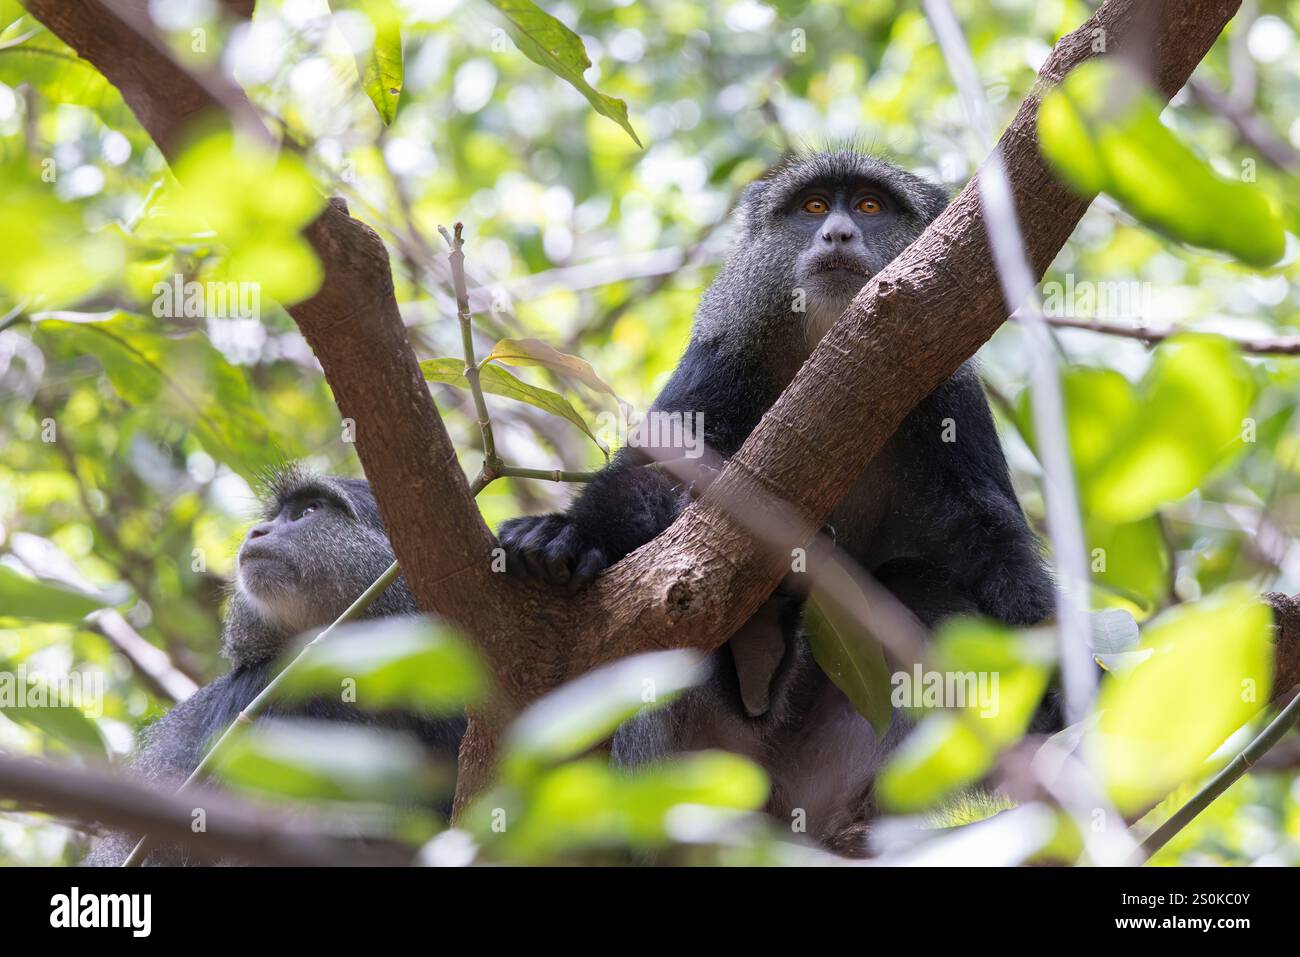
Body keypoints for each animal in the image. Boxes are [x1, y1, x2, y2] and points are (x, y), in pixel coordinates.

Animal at [497, 149, 1056, 855]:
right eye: (814, 207)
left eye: (870, 206)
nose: (838, 234)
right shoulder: (722, 360)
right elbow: (643, 479)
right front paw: (566, 533)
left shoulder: (951, 401)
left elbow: (986, 538)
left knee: (920, 582)